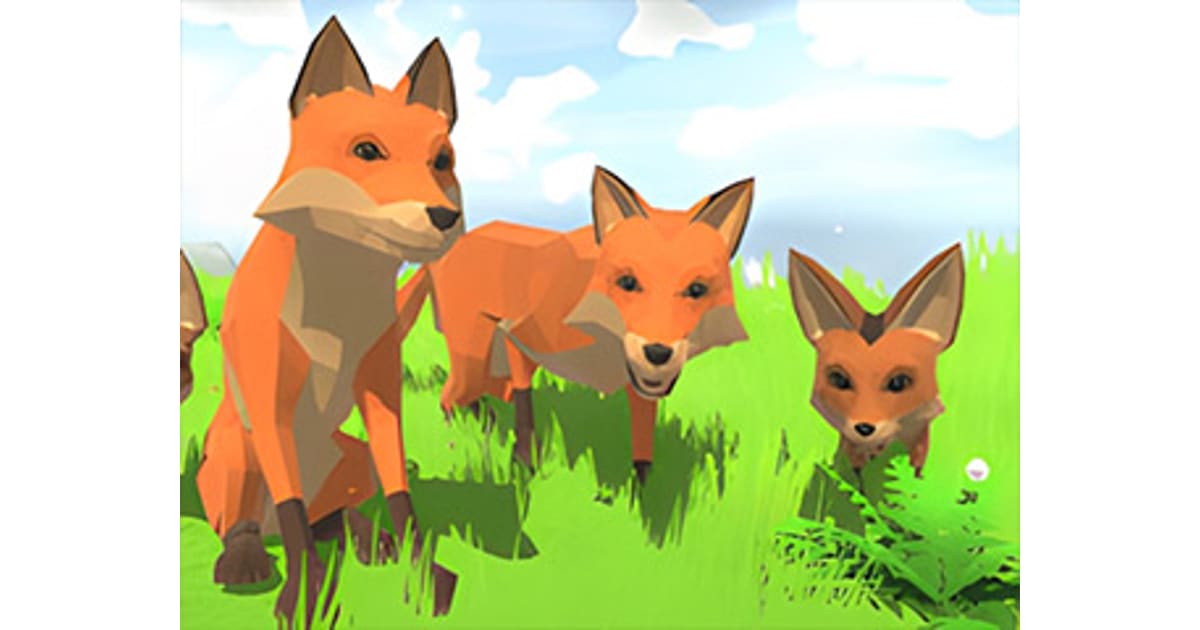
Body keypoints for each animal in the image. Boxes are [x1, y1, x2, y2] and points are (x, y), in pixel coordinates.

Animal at [193, 17, 461, 626]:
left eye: (441, 162)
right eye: (367, 150)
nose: (446, 217)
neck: (338, 309)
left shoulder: (381, 391)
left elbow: (402, 501)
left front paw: (421, 576)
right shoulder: (268, 404)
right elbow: (295, 526)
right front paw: (304, 598)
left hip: (352, 458)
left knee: (336, 518)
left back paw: (367, 540)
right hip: (235, 455)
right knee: (257, 524)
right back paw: (246, 559)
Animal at [423, 166, 754, 481]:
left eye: (696, 290)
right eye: (628, 282)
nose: (658, 353)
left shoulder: (639, 381)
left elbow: (643, 446)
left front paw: (641, 489)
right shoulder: (517, 335)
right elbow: (525, 411)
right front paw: (524, 466)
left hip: (489, 370)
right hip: (474, 359)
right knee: (450, 398)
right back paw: (459, 439)